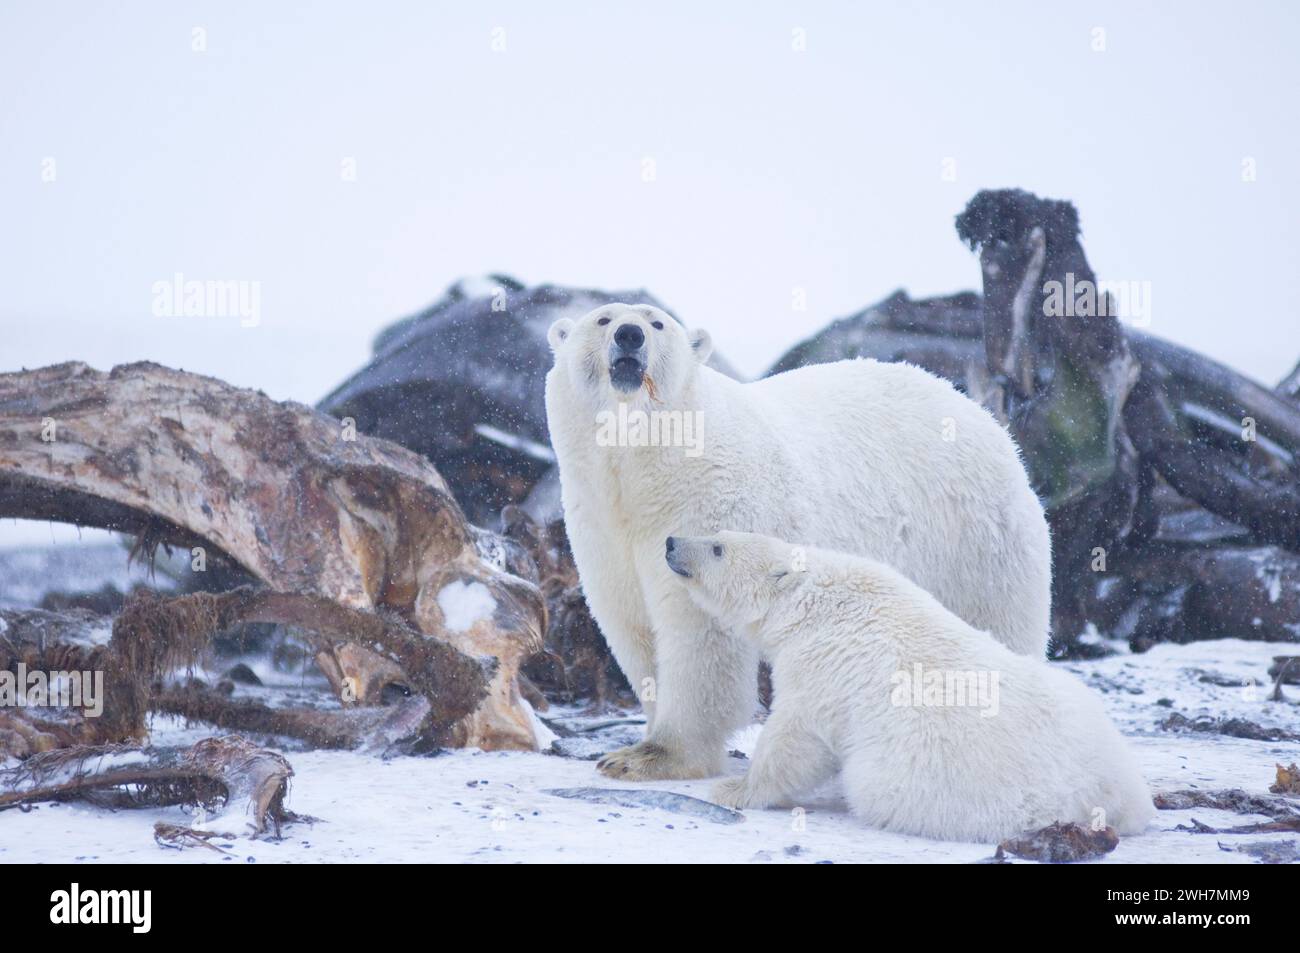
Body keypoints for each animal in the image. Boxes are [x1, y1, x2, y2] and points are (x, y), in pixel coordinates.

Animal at [544, 303, 1052, 780]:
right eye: (603, 318)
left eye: (657, 323)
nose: (629, 335)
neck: (647, 465)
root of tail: (983, 416)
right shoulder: (602, 524)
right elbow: (632, 625)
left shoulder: (703, 505)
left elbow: (698, 632)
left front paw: (653, 756)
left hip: (973, 537)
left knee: (994, 622)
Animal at [665, 530, 1154, 841]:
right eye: (717, 533)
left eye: (717, 547)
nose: (671, 543)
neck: (811, 599)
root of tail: (1111, 793)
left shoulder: (819, 665)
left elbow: (797, 736)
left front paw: (736, 789)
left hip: (949, 778)